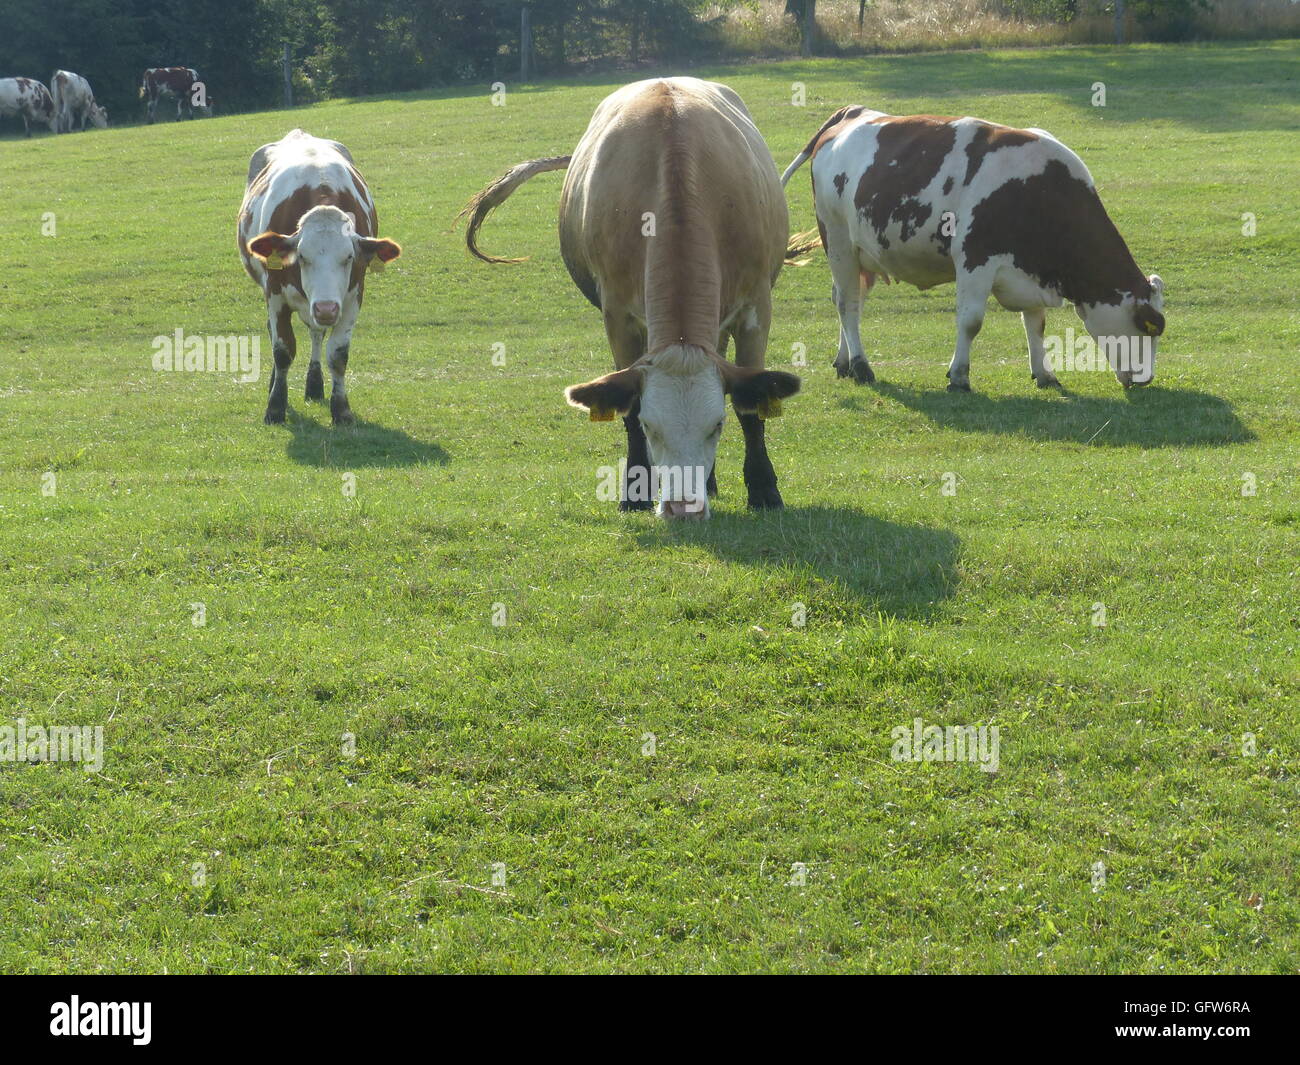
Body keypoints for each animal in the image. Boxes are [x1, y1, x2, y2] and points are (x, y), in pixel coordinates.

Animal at [238, 129, 402, 425]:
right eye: (302, 256)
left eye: (349, 257)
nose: (326, 308)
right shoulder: (275, 295)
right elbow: (282, 350)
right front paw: (275, 407)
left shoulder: (352, 297)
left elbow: (338, 354)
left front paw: (341, 410)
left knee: (316, 333)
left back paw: (314, 385)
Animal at [462, 78, 801, 519]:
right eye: (651, 427)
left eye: (717, 425)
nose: (684, 508)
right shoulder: (618, 315)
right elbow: (629, 409)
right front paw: (635, 491)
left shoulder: (756, 307)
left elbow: (752, 408)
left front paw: (763, 489)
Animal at [782, 107, 1166, 391]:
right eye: (1149, 326)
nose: (1145, 380)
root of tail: (852, 113)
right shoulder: (975, 260)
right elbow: (971, 322)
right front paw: (959, 376)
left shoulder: (1030, 270)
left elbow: (1036, 323)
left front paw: (1044, 373)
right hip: (837, 240)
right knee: (847, 303)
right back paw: (861, 366)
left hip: (862, 253)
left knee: (848, 298)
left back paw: (844, 361)